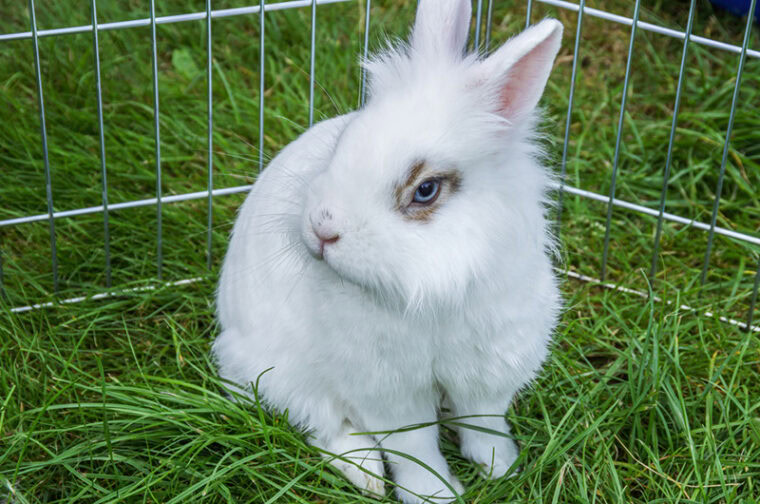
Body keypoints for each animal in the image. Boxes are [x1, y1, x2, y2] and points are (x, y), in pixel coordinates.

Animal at [212, 0, 563, 502]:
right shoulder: (388, 390)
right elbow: (413, 448)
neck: (436, 286)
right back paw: (369, 477)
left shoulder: (490, 368)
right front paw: (435, 494)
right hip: (279, 374)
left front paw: (500, 468)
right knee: (326, 426)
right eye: (344, 142)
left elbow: (484, 422)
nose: (322, 228)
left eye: (425, 190)